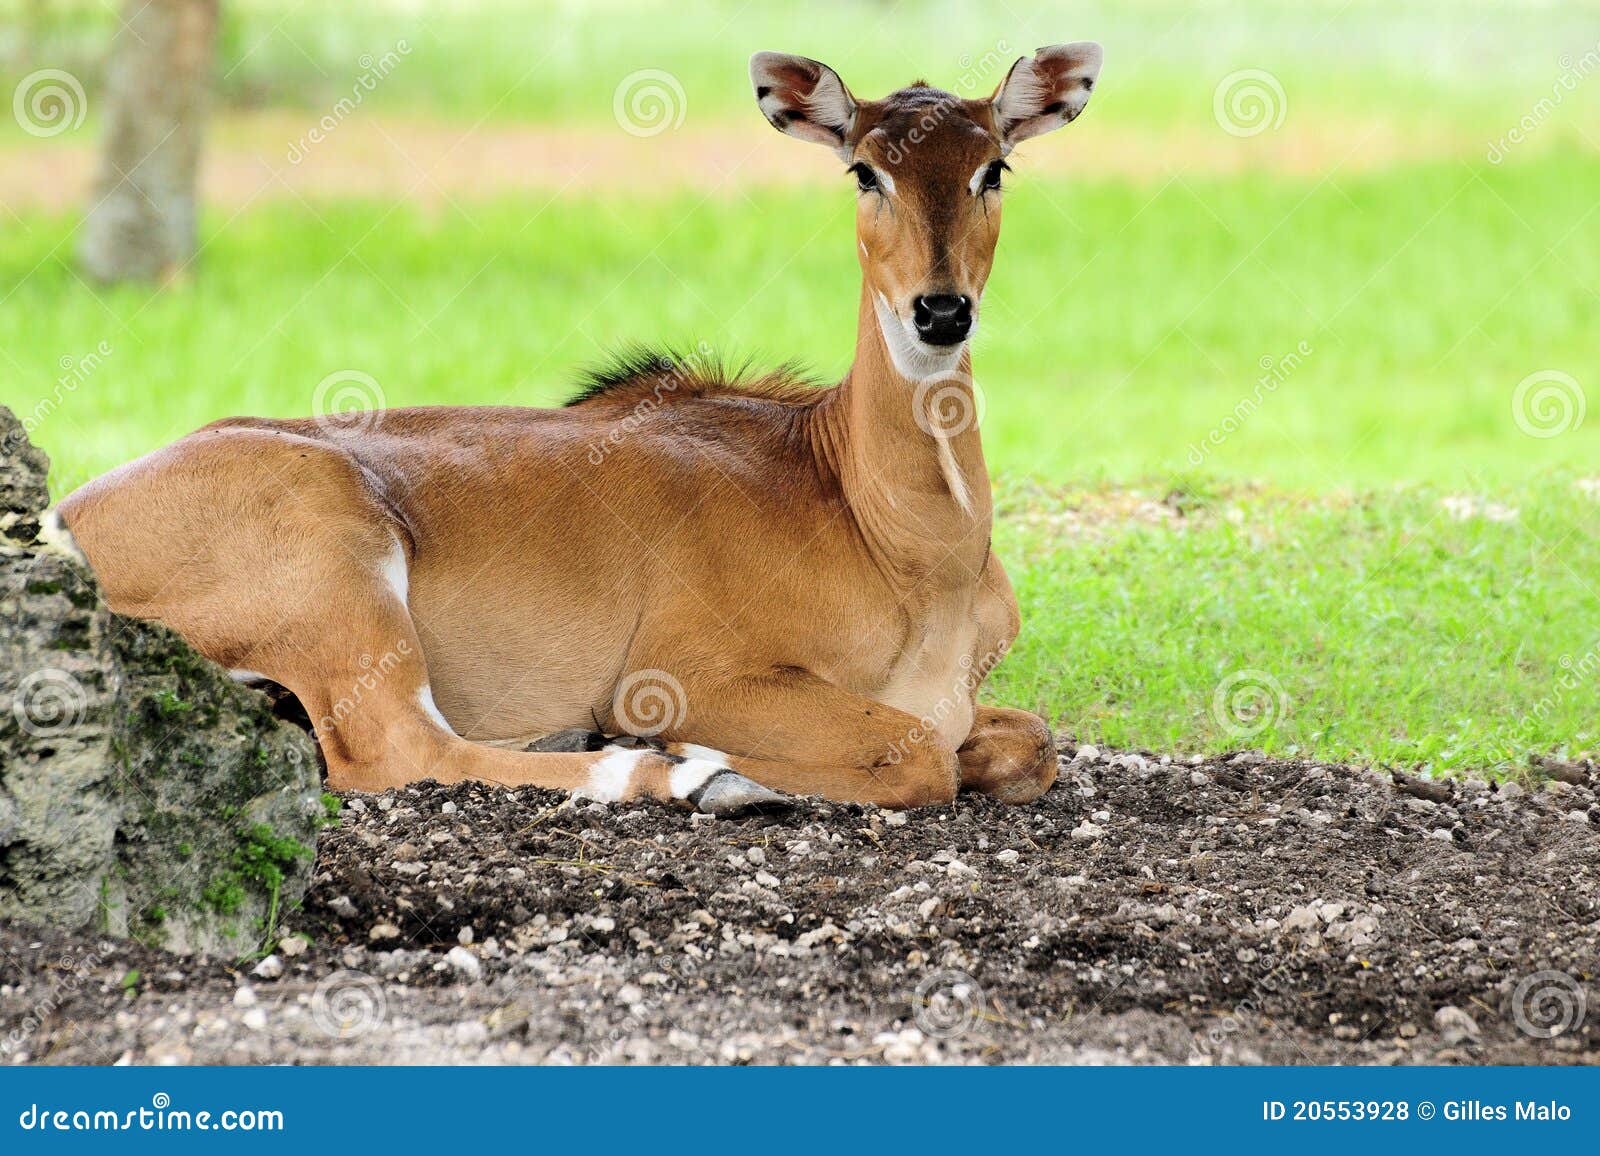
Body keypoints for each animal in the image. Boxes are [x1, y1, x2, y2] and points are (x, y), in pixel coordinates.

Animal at [58, 43, 1103, 815]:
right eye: (862, 170)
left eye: (994, 166)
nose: (940, 312)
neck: (902, 540)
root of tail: (70, 518)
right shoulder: (690, 669)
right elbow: (921, 752)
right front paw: (696, 756)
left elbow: (1032, 741)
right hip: (334, 564)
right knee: (397, 746)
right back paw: (677, 771)